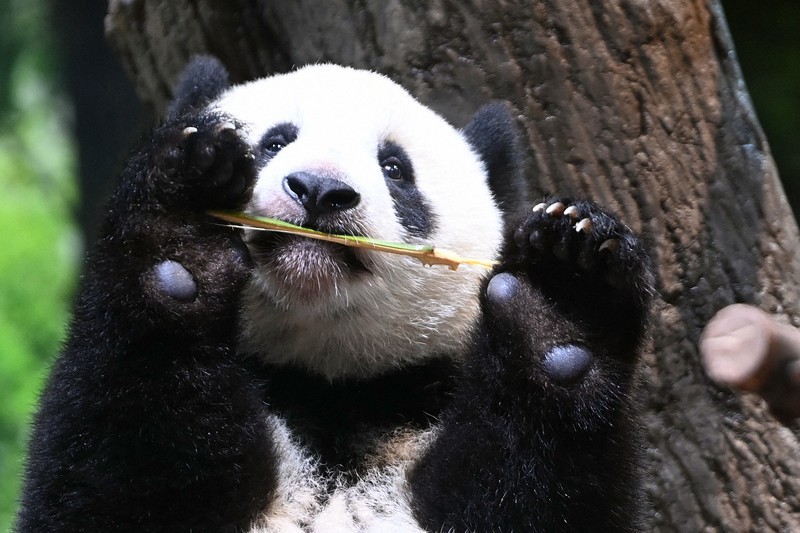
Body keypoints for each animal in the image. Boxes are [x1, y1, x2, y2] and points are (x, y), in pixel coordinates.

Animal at [16, 57, 653, 532]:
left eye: (394, 167)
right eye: (275, 142)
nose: (320, 190)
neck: (329, 388)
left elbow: (538, 495)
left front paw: (564, 298)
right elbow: (111, 476)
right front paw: (180, 238)